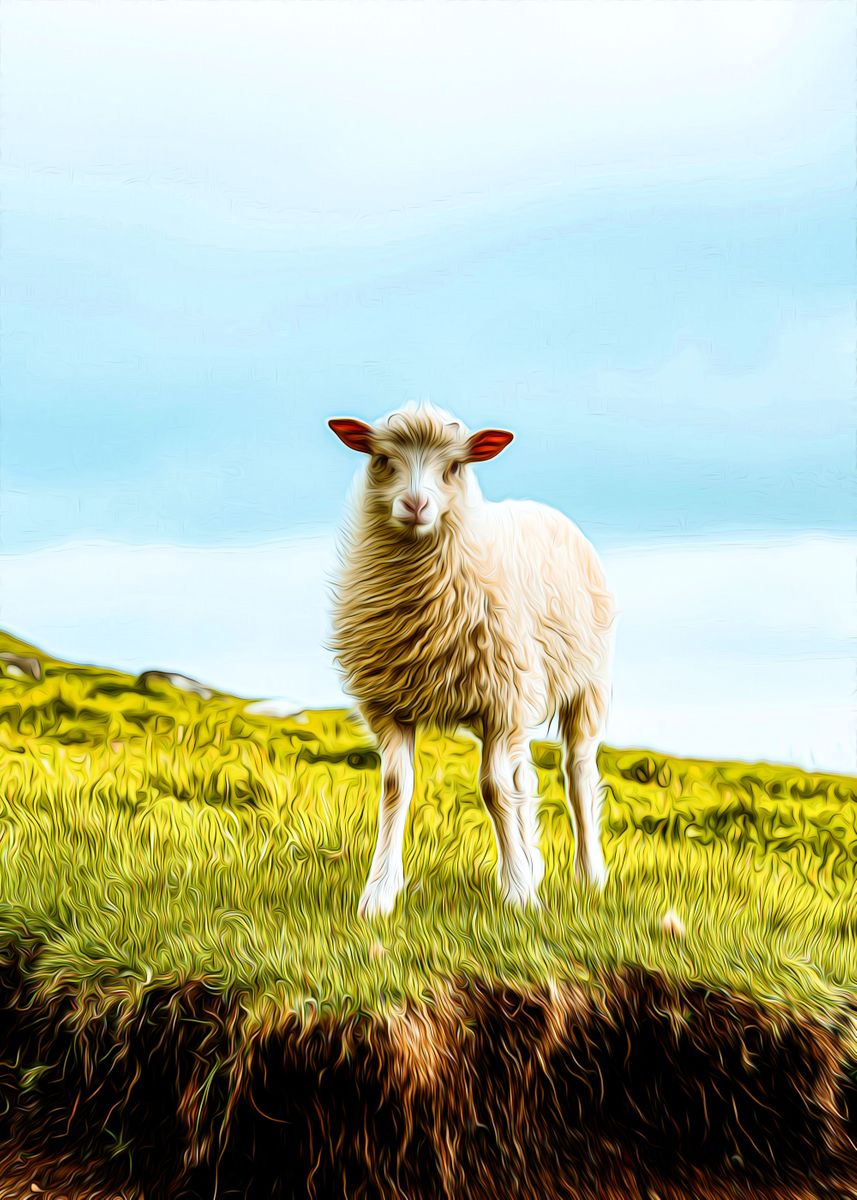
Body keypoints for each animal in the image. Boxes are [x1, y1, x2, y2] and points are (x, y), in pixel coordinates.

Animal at [328, 403, 615, 917]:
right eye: (382, 459)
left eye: (455, 467)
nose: (415, 505)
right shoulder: (389, 706)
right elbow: (395, 788)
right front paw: (379, 895)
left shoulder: (501, 702)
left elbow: (494, 790)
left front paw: (519, 897)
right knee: (525, 777)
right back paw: (531, 863)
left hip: (586, 685)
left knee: (577, 773)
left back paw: (589, 876)